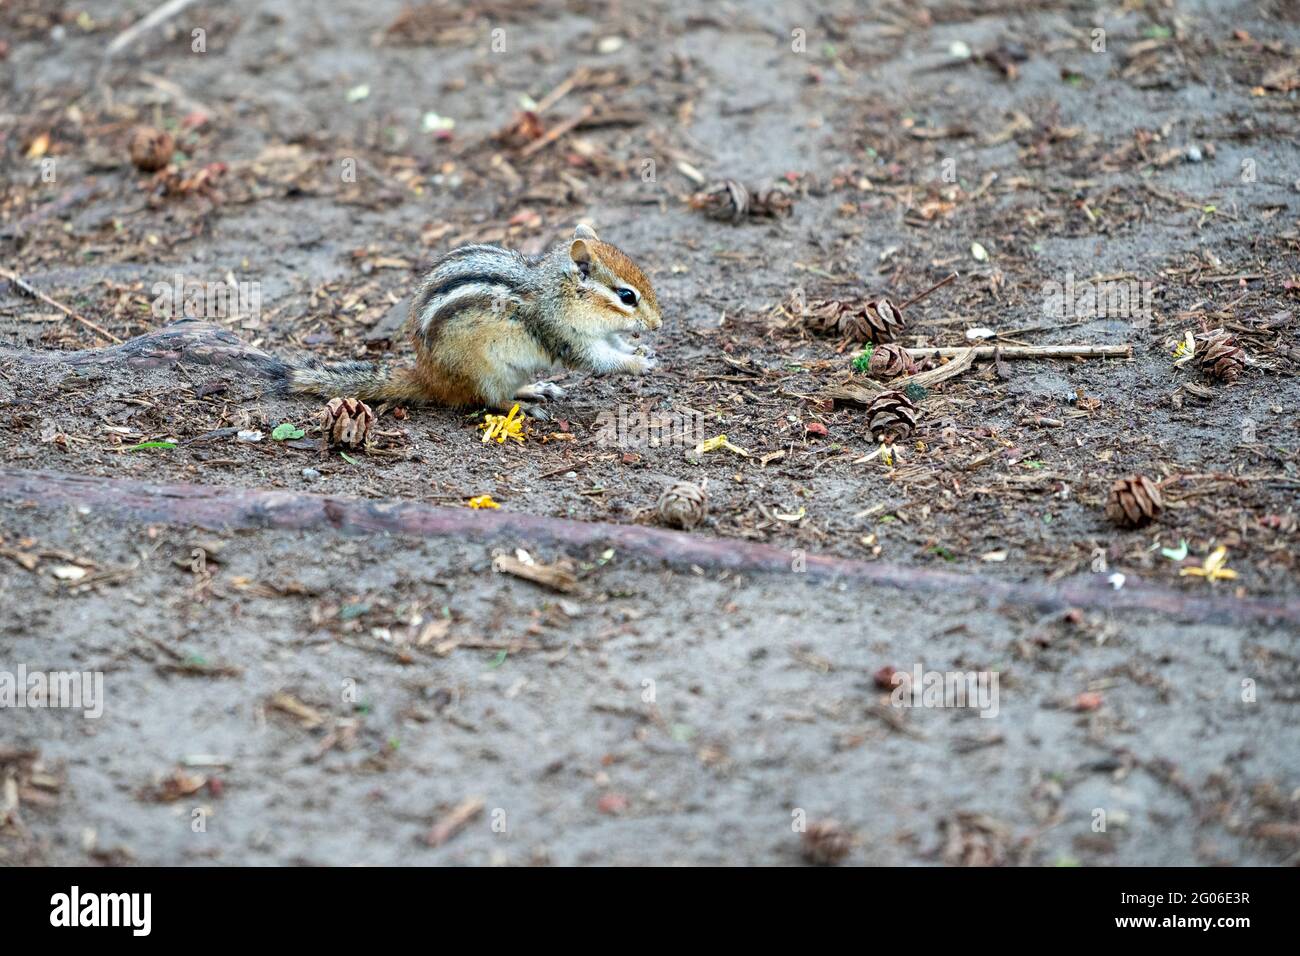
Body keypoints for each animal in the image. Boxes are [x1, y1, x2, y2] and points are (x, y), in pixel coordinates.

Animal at [275, 224, 661, 418]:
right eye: (628, 296)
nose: (658, 325)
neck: (558, 290)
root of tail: (430, 378)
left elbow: (613, 344)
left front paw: (641, 352)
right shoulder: (564, 335)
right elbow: (599, 359)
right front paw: (636, 364)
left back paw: (534, 389)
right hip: (485, 371)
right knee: (490, 400)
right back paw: (523, 406)